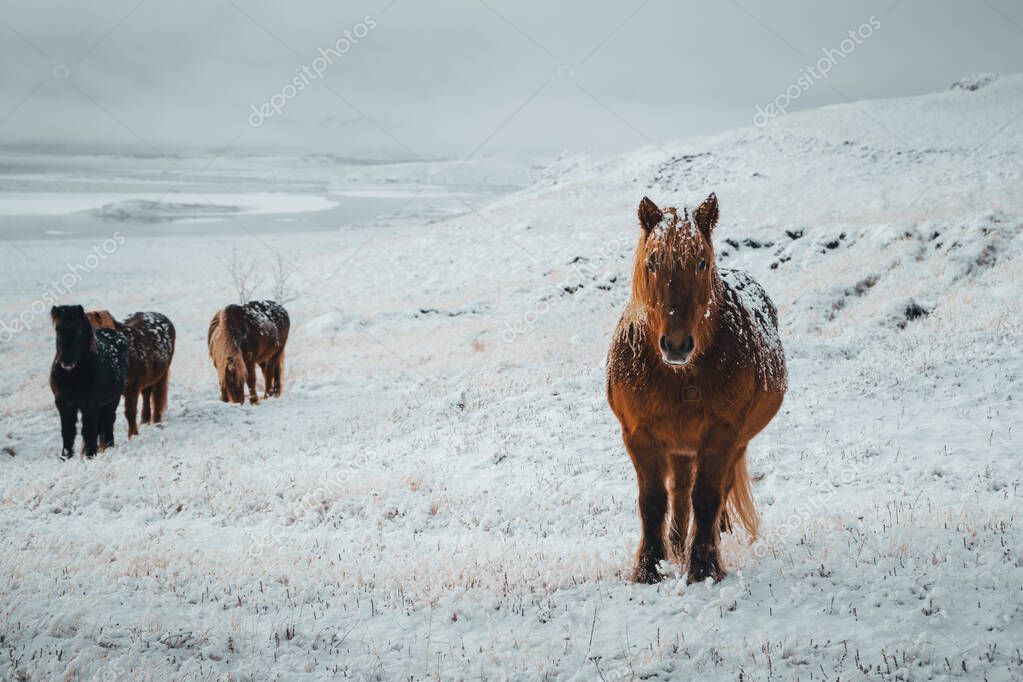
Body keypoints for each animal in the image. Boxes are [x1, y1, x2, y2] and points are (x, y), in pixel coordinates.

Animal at [50, 305, 129, 459]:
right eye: (58, 329)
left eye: (79, 330)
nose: (67, 362)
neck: (73, 376)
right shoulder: (64, 403)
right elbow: (68, 431)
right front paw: (66, 457)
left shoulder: (91, 404)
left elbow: (89, 430)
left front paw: (90, 455)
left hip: (112, 400)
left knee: (108, 421)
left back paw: (108, 447)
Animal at [606, 194, 787, 584]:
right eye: (652, 262)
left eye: (702, 261)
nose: (676, 345)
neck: (678, 376)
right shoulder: (639, 436)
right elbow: (653, 502)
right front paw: (650, 567)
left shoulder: (722, 434)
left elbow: (706, 497)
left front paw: (703, 567)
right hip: (679, 447)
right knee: (679, 491)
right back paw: (676, 546)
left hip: (732, 443)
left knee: (713, 490)